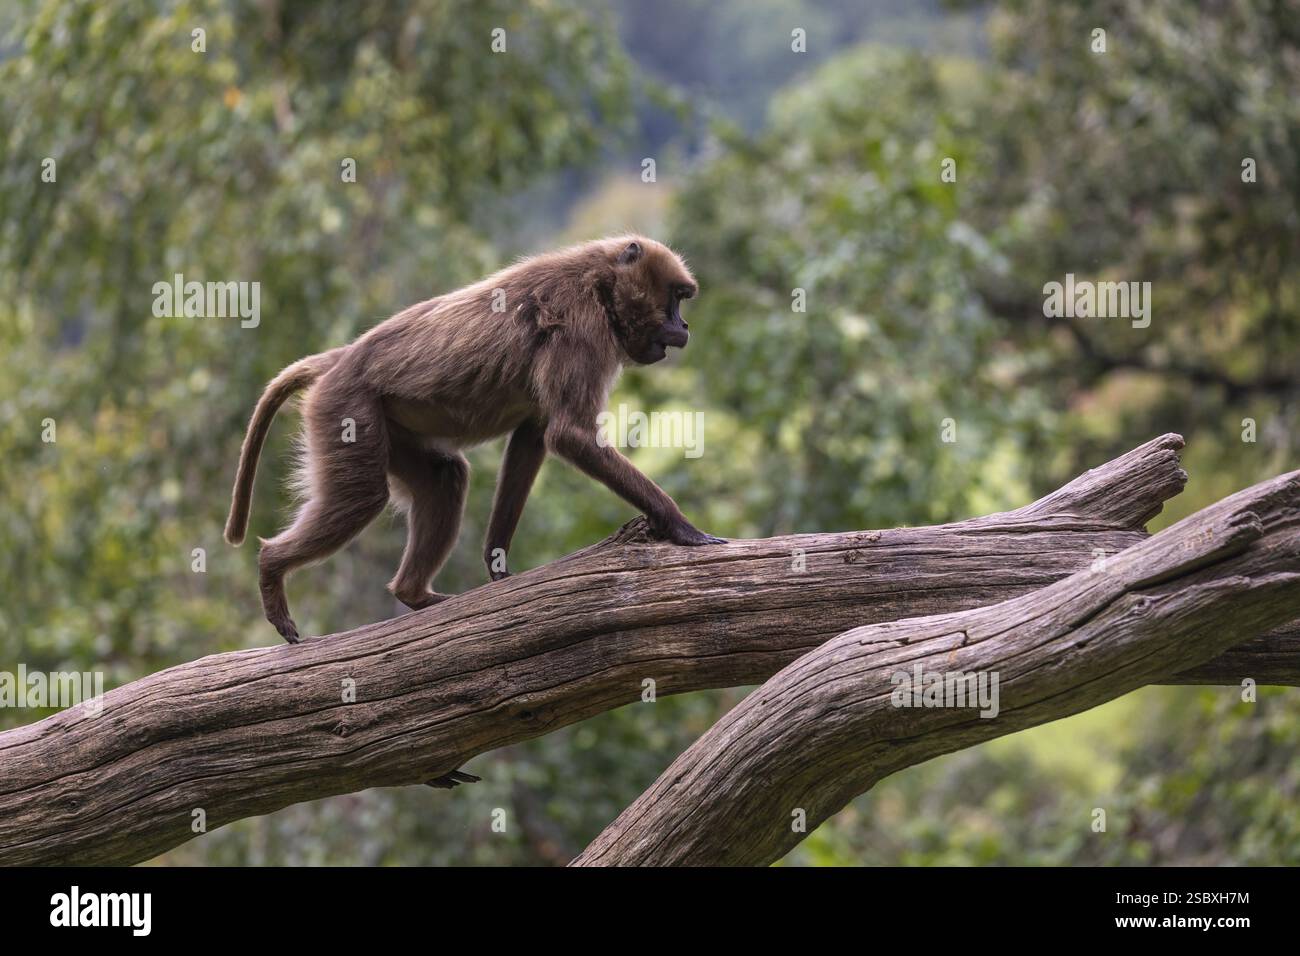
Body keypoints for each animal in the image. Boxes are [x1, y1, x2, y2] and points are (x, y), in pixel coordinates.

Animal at [224, 235, 725, 644]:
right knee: (362, 497)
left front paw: (496, 563)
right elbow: (570, 435)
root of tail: (341, 358)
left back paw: (414, 594)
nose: (685, 328)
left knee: (444, 476)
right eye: (676, 298)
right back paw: (271, 567)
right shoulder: (581, 326)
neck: (600, 281)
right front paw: (680, 527)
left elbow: (534, 435)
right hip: (347, 406)